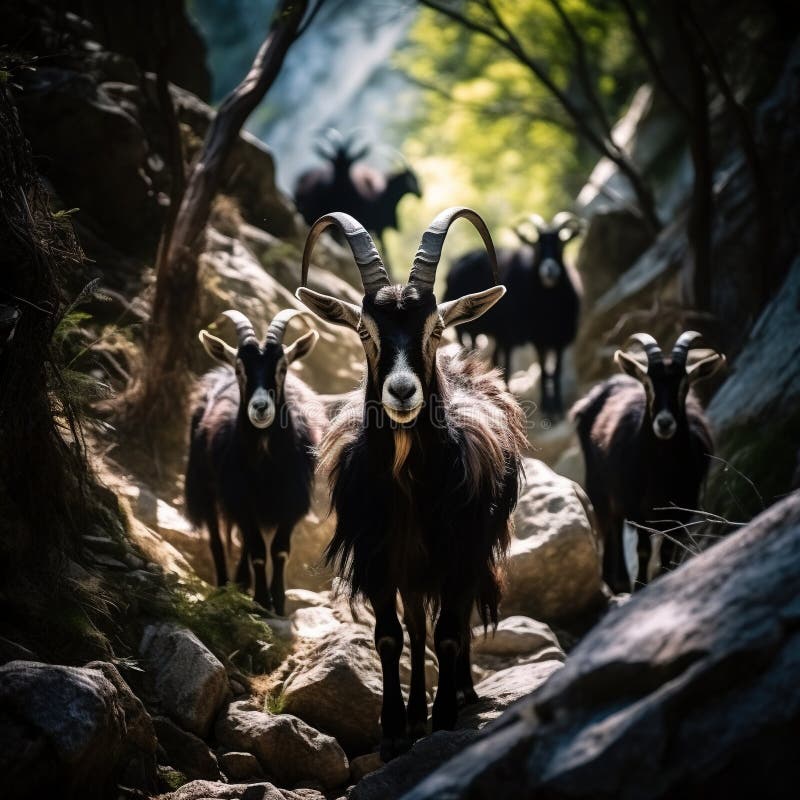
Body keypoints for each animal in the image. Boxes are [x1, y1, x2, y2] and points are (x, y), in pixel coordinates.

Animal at [184, 309, 320, 615]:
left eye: (282, 366)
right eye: (240, 368)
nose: (260, 407)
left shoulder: (292, 500)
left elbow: (279, 549)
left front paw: (278, 602)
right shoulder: (239, 496)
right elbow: (258, 551)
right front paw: (260, 600)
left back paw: (240, 582)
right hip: (206, 484)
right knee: (217, 539)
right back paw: (225, 586)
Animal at [297, 208, 526, 759]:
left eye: (436, 328)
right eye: (364, 332)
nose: (402, 391)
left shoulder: (460, 551)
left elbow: (449, 633)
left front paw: (443, 719)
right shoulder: (379, 555)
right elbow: (390, 636)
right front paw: (395, 731)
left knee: (454, 621)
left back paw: (461, 692)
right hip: (413, 566)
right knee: (417, 626)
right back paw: (419, 708)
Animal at [443, 212, 584, 416]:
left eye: (561, 244)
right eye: (537, 245)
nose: (550, 270)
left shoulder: (557, 338)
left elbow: (555, 372)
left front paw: (556, 406)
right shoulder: (534, 337)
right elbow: (540, 370)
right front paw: (545, 406)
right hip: (469, 329)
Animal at [571, 332, 725, 594]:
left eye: (684, 385)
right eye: (648, 384)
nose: (664, 423)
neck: (662, 472)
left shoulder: (681, 510)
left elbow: (667, 550)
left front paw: (664, 577)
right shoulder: (636, 506)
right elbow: (643, 549)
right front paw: (640, 585)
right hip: (599, 486)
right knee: (610, 526)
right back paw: (617, 581)